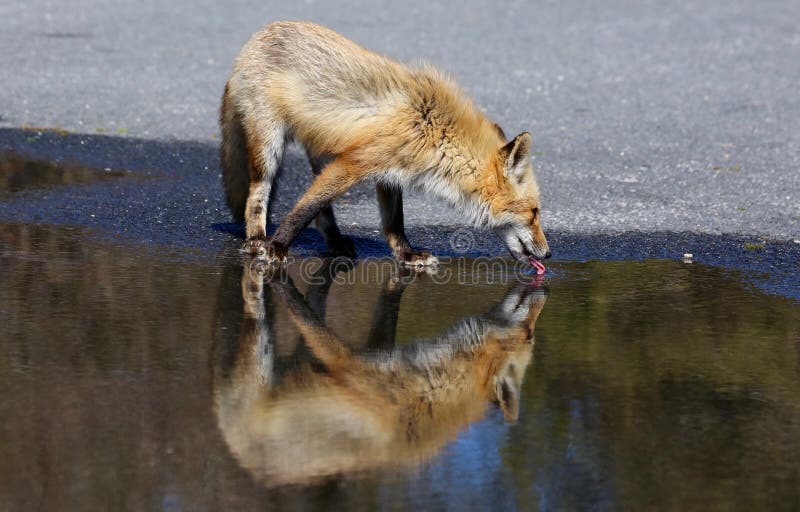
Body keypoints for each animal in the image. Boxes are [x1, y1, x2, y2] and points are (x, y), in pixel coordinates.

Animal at [211, 260, 547, 487]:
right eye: (530, 334)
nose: (542, 277)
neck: (424, 390)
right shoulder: (344, 362)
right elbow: (303, 313)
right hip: (258, 360)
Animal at [220, 21, 551, 267]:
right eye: (534, 212)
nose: (548, 254)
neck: (434, 128)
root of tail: (256, 38)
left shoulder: (390, 174)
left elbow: (394, 223)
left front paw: (407, 255)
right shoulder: (355, 162)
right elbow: (303, 209)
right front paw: (276, 245)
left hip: (321, 153)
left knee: (322, 210)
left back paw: (335, 242)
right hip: (270, 147)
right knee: (258, 196)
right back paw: (257, 239)